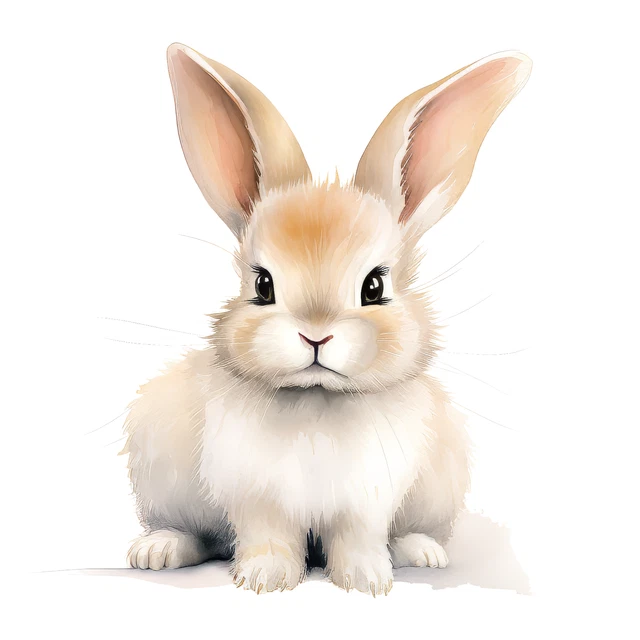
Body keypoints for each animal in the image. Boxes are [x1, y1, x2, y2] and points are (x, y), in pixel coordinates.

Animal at [122, 43, 531, 595]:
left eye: (375, 286)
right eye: (263, 285)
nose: (315, 335)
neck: (317, 398)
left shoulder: (369, 500)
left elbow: (359, 537)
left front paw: (367, 582)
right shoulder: (254, 496)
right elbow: (268, 535)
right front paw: (265, 579)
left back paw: (423, 554)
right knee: (197, 533)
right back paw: (156, 552)